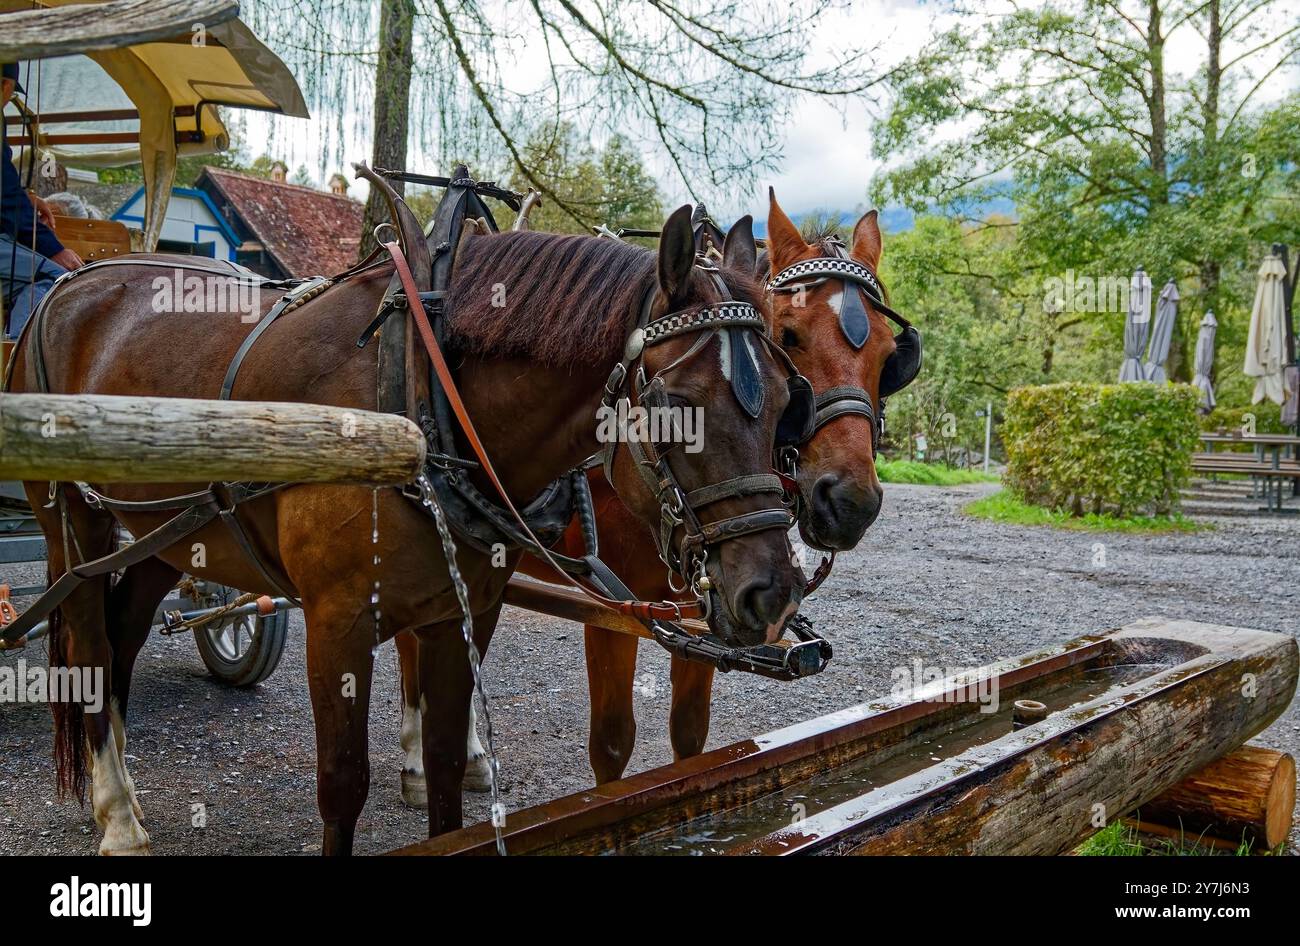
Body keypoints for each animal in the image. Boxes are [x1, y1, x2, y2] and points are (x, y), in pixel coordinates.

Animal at [5, 202, 808, 854]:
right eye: (676, 402)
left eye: (783, 397)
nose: (770, 592)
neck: (421, 393)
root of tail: (70, 290)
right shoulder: (336, 622)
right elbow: (341, 782)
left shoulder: (460, 610)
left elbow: (449, 767)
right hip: (72, 524)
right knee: (91, 645)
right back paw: (115, 814)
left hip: (168, 534)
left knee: (125, 637)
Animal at [397, 188, 923, 798]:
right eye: (789, 335)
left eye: (889, 357)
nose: (851, 503)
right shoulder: (613, 609)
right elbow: (612, 742)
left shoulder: (708, 599)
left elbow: (690, 733)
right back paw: (416, 759)